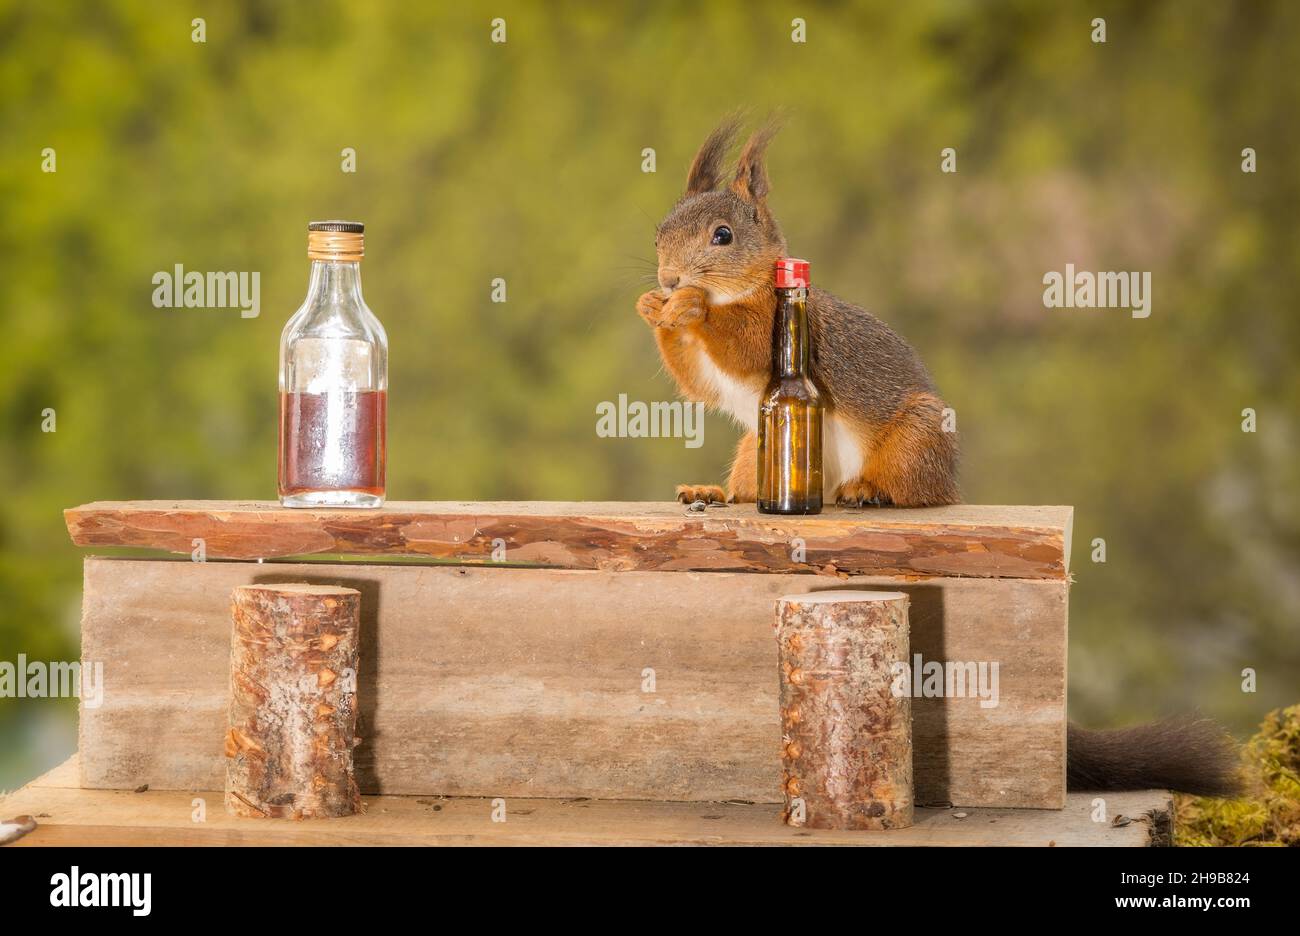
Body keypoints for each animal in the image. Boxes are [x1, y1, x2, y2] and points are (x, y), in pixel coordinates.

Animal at [636, 115, 960, 508]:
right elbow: (698, 383)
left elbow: (748, 348)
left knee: (912, 488)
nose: (669, 279)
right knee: (745, 491)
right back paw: (710, 492)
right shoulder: (707, 370)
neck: (733, 295)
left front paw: (693, 304)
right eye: (658, 237)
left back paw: (868, 489)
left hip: (917, 435)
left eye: (723, 235)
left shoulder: (769, 324)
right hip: (752, 452)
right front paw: (651, 306)